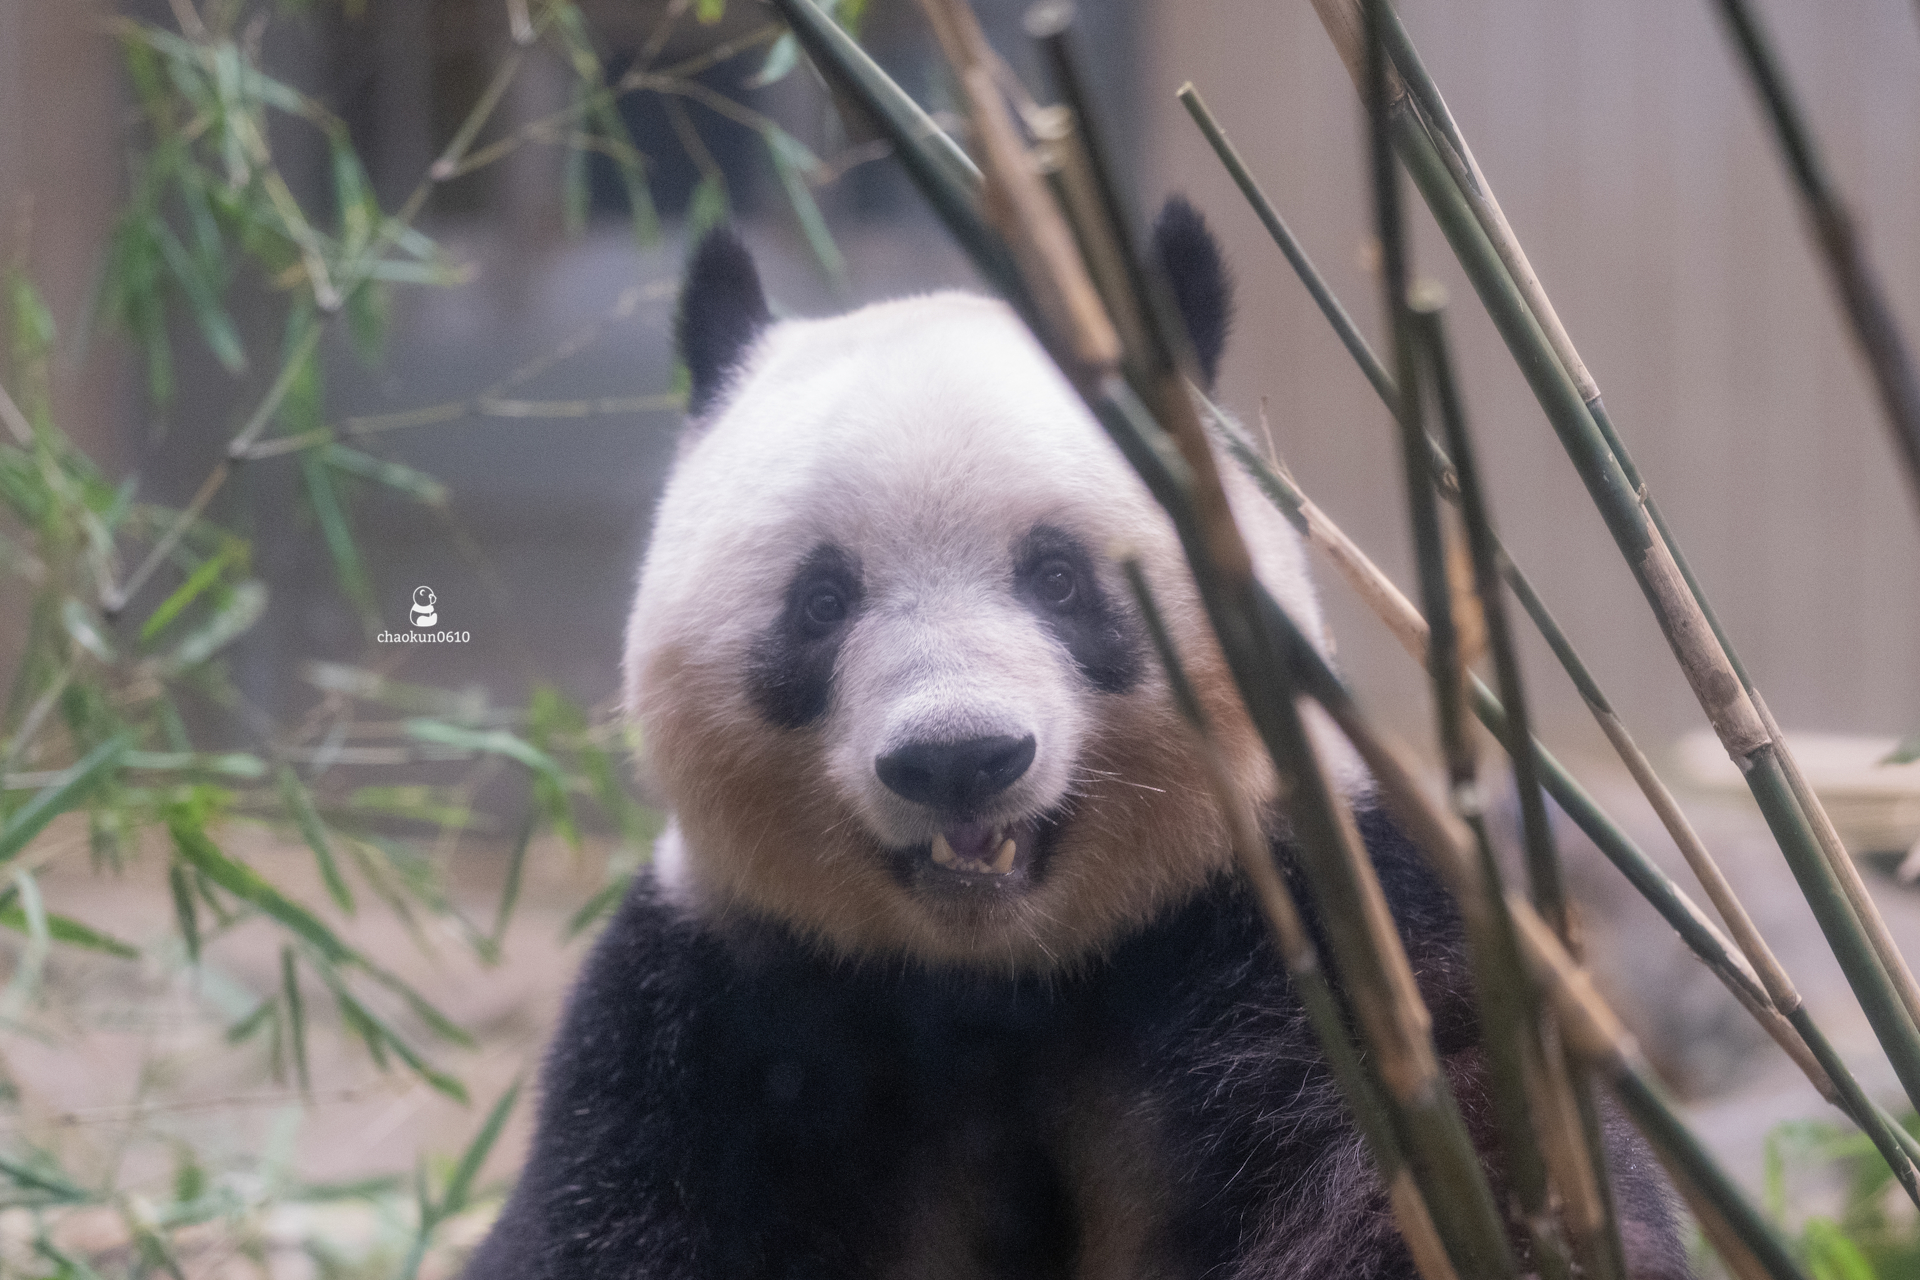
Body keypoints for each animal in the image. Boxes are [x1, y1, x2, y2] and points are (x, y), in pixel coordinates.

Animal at [464, 202, 1690, 1280]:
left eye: (1057, 577)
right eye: (821, 600)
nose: (957, 758)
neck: (1001, 977)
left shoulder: (1325, 942)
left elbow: (1460, 1161)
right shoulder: (724, 1007)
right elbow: (613, 1215)